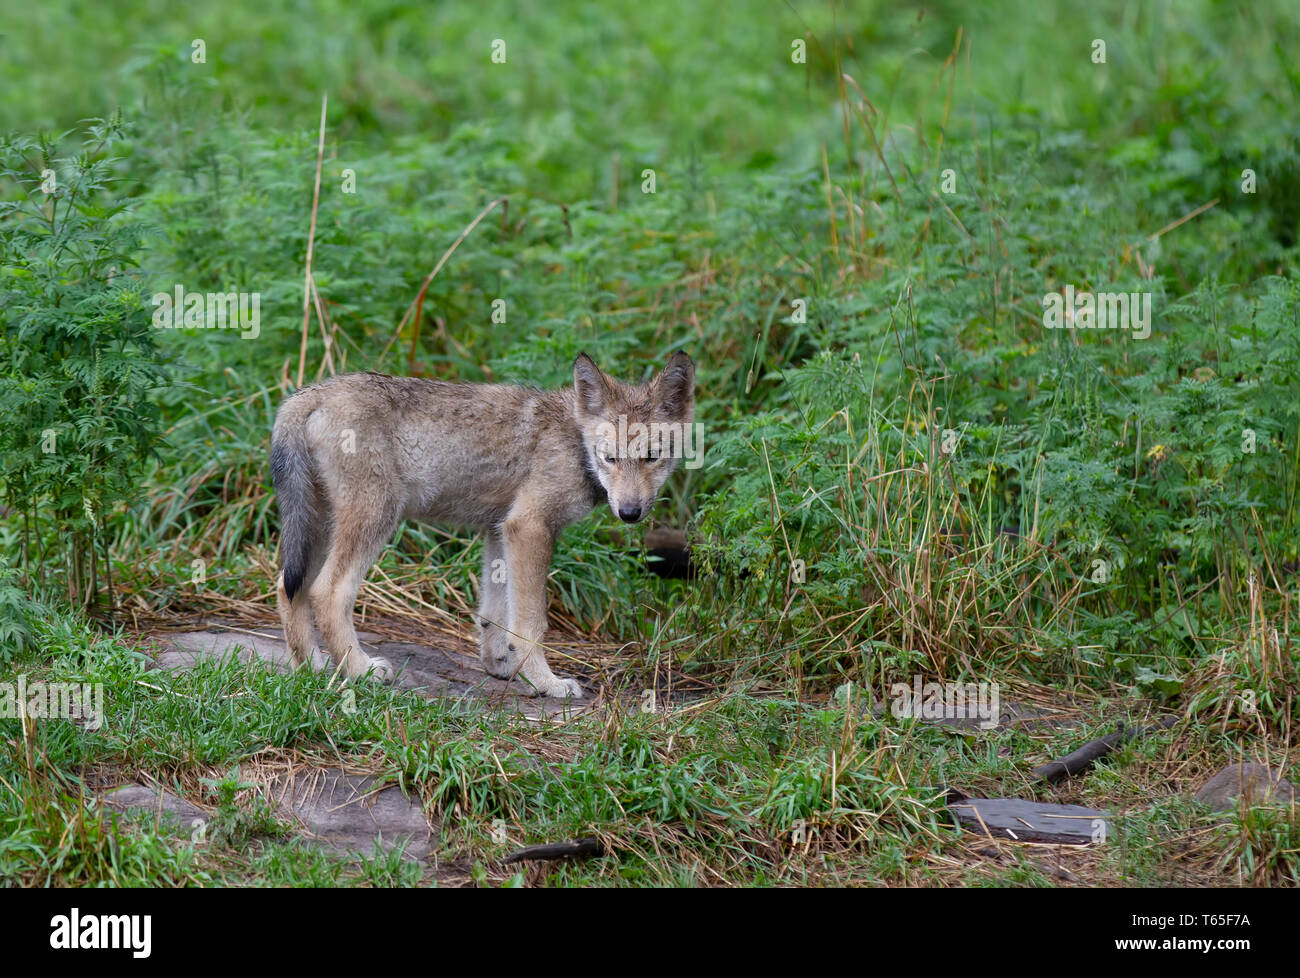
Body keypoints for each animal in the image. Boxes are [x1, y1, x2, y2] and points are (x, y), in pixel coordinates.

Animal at [271, 351, 695, 698]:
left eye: (652, 456)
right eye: (609, 458)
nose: (630, 513)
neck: (575, 442)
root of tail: (311, 393)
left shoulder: (499, 530)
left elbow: (494, 617)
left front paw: (503, 669)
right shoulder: (529, 527)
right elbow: (529, 624)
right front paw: (546, 683)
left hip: (318, 530)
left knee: (289, 588)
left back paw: (311, 668)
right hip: (374, 521)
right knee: (328, 592)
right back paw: (360, 670)